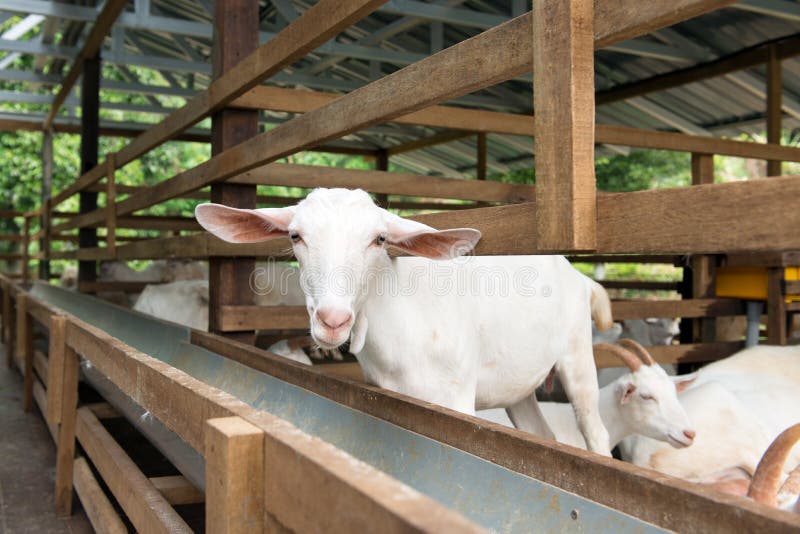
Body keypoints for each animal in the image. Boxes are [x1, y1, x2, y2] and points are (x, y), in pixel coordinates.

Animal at [196, 188, 616, 455]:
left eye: (379, 239)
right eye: (296, 236)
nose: (333, 319)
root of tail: (579, 277)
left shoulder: (457, 400)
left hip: (578, 354)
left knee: (594, 428)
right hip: (518, 384)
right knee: (540, 432)